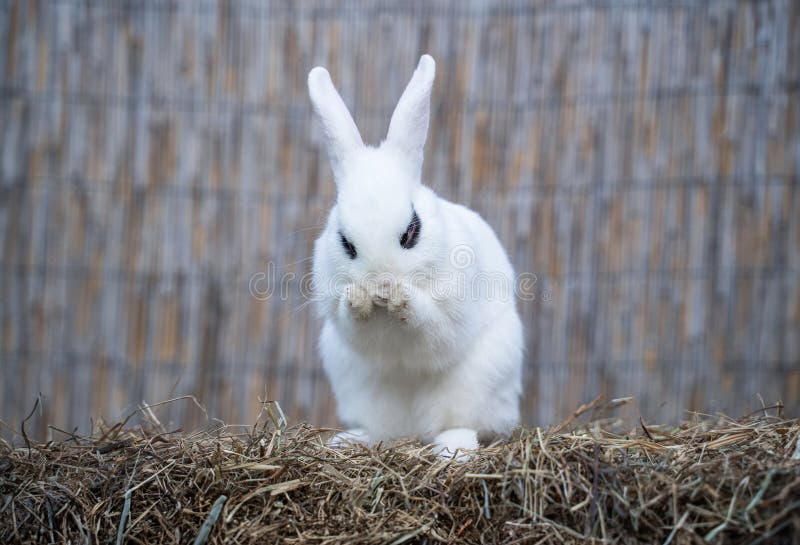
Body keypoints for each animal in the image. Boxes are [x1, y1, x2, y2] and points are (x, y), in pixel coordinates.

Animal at [308, 54, 523, 458]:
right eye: (346, 243)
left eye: (412, 232)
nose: (381, 283)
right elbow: (355, 326)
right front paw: (358, 299)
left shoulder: (450, 317)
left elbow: (431, 331)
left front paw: (402, 298)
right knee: (382, 430)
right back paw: (350, 440)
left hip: (477, 385)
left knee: (461, 424)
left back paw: (454, 450)